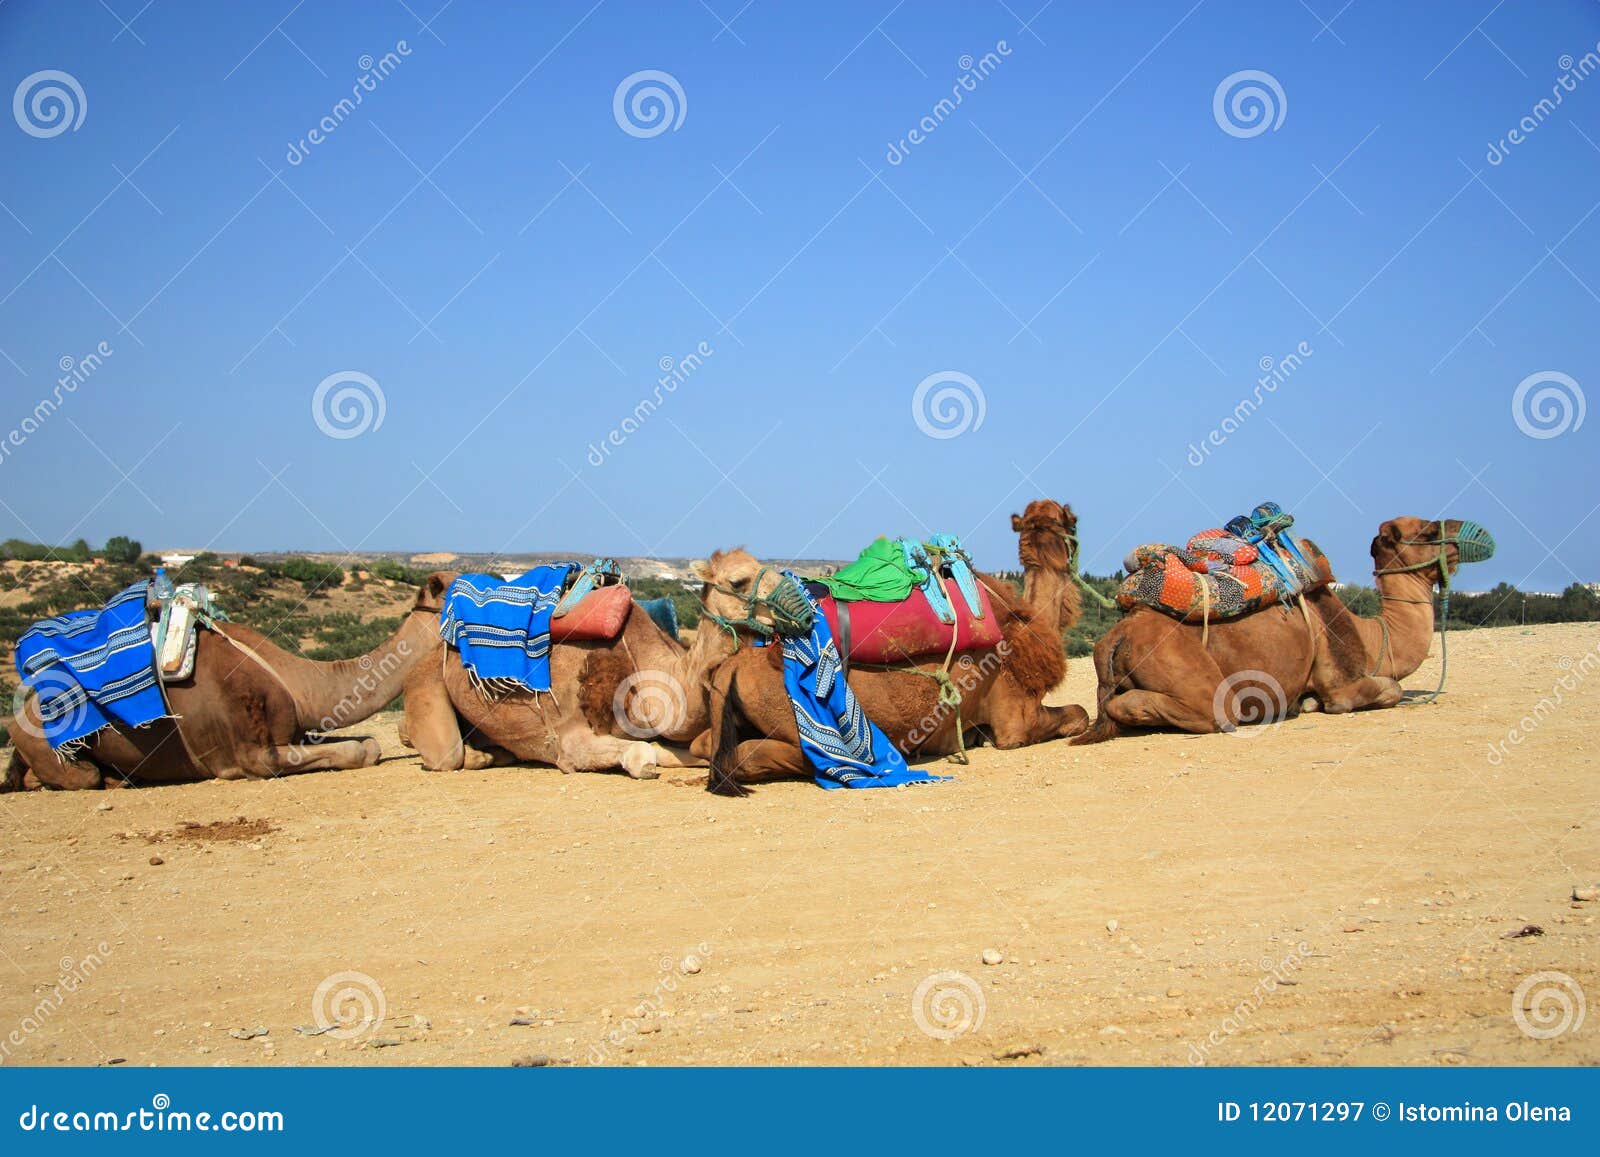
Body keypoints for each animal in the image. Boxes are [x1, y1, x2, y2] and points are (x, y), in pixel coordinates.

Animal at [3, 582, 440, 790]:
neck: (296, 683)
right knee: (80, 776)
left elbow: (368, 744)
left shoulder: (296, 731)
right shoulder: (251, 753)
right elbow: (355, 750)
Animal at [398, 573, 735, 778]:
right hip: (424, 680)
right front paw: (643, 763)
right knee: (446, 754)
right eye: (736, 580)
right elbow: (640, 751)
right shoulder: (570, 738)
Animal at [693, 500, 1092, 794]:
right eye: (1073, 521)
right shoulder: (1015, 721)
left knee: (706, 746)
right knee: (753, 756)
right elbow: (1078, 714)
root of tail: (732, 667)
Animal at [1073, 516, 1490, 741]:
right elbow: (1389, 690)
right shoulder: (1340, 683)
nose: (1467, 534)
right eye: (1425, 531)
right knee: (1206, 708)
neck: (1374, 639)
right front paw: (1311, 704)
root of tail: (1114, 637)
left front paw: (1304, 702)